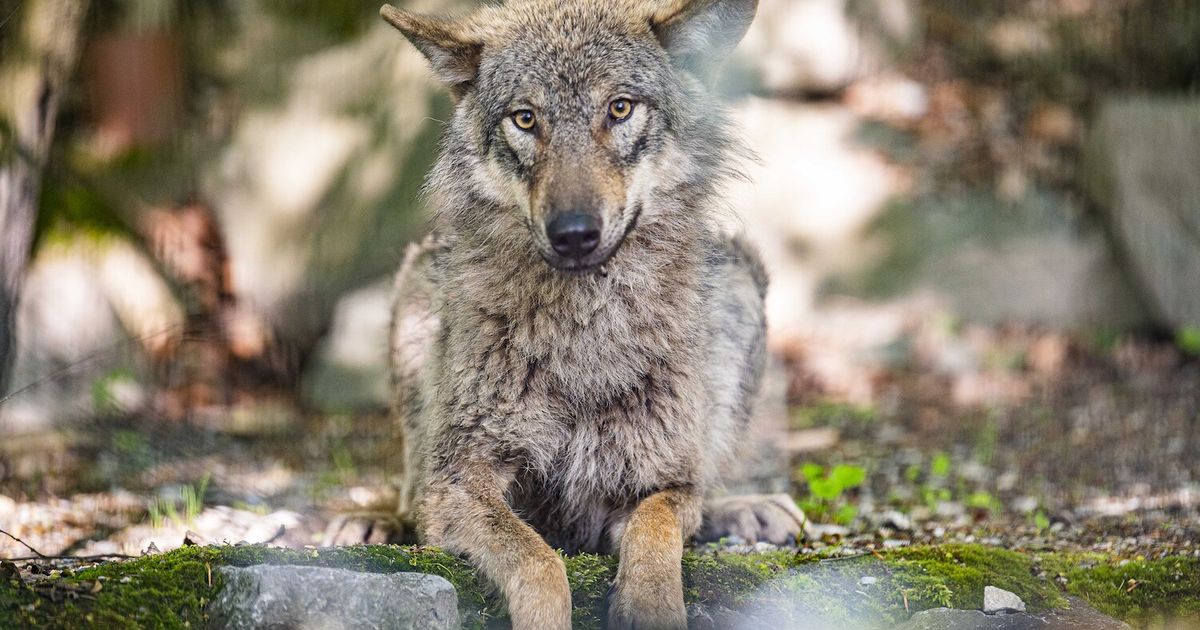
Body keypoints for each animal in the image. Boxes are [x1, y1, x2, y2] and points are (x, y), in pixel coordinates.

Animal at [380, 0, 807, 627]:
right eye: (526, 119)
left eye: (619, 108)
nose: (575, 233)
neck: (585, 339)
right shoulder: (458, 481)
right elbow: (537, 563)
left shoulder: (661, 481)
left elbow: (657, 532)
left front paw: (649, 605)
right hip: (414, 289)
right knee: (406, 498)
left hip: (741, 282)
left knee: (708, 487)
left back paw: (751, 510)